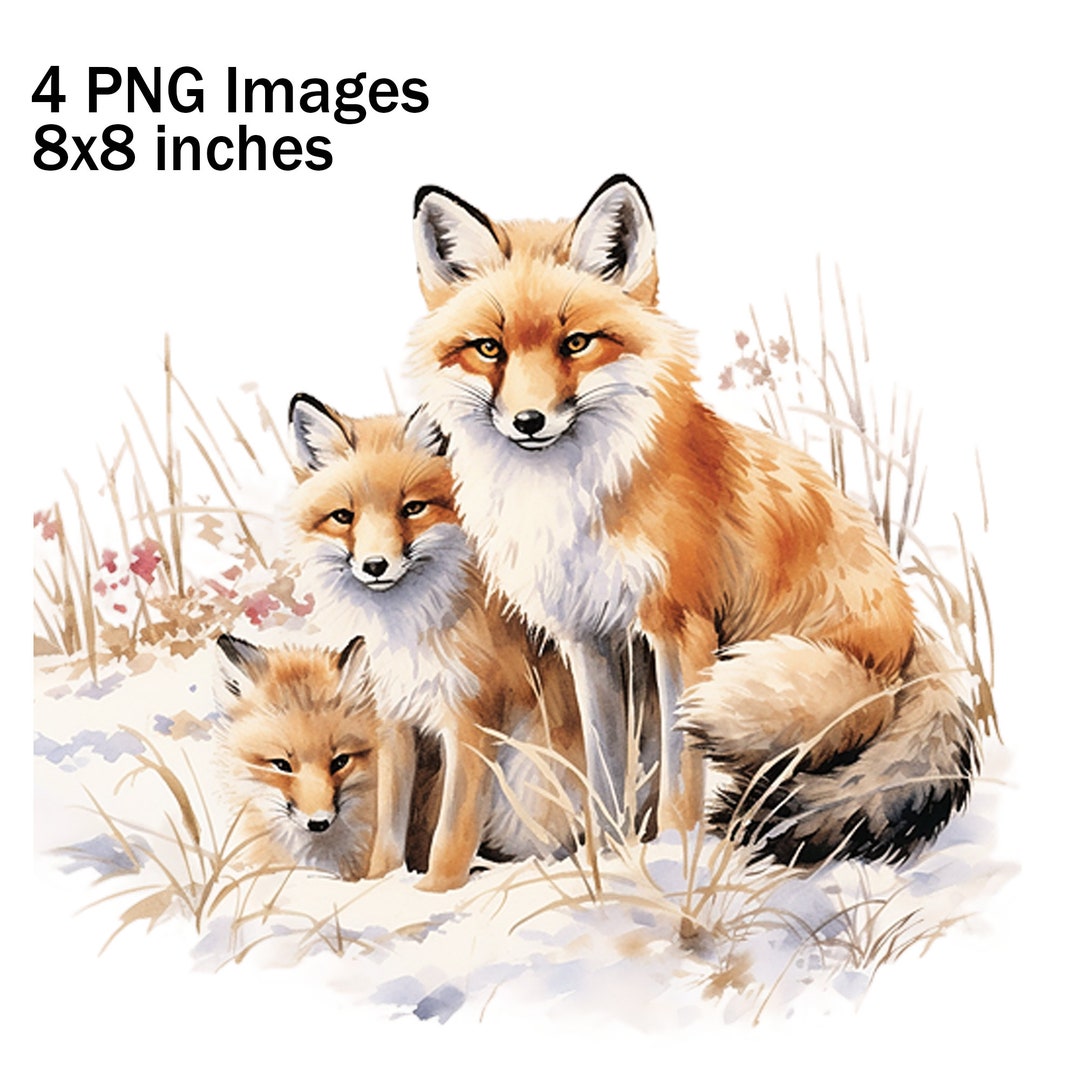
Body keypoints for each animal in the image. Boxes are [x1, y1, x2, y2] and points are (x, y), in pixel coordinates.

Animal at [287, 398, 588, 890]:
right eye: (344, 516)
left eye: (413, 508)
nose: (375, 566)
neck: (408, 631)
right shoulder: (393, 720)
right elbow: (389, 825)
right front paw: (381, 884)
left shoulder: (472, 719)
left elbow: (454, 830)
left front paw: (437, 890)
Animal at [406, 174, 979, 866]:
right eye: (489, 349)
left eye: (577, 343)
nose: (528, 421)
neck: (571, 498)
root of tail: (913, 641)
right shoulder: (591, 640)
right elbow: (606, 765)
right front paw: (610, 855)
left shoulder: (680, 625)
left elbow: (683, 773)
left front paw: (673, 855)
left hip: (780, 675)